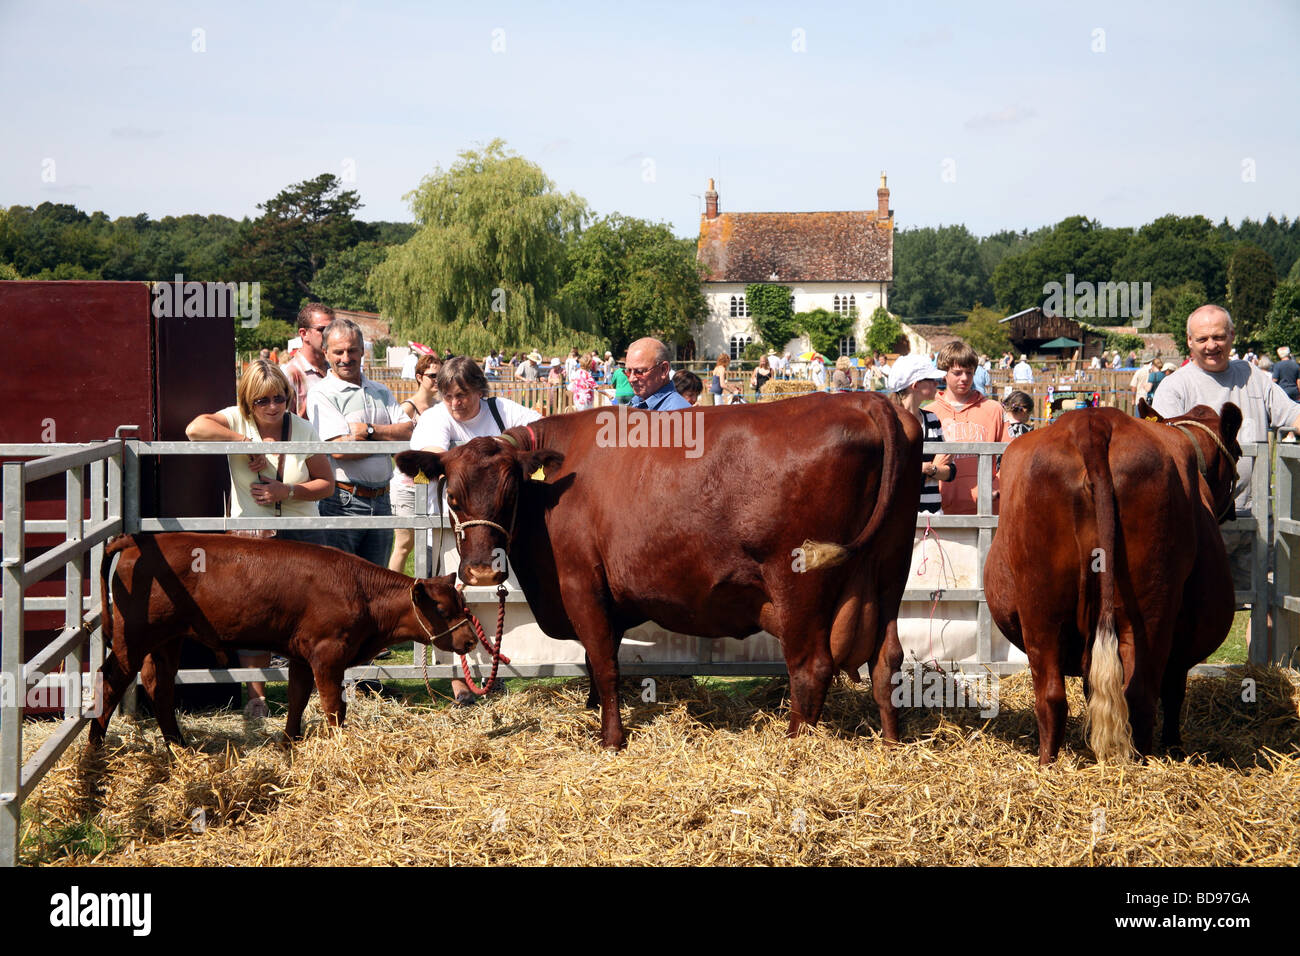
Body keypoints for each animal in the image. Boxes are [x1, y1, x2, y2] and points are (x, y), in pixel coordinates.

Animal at [90, 533, 474, 748]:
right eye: (441, 608)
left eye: (462, 602)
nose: (471, 640)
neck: (362, 592)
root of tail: (139, 541)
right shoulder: (327, 654)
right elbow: (333, 706)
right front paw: (337, 744)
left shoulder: (302, 656)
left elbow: (297, 699)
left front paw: (289, 742)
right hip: (134, 636)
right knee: (111, 680)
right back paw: (95, 747)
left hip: (167, 639)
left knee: (160, 686)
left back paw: (178, 745)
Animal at [396, 391, 922, 750]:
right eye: (452, 495)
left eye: (510, 494)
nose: (482, 573)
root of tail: (868, 400)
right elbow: (598, 659)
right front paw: (594, 711)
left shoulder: (581, 583)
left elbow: (605, 663)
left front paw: (610, 738)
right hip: (890, 570)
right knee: (886, 660)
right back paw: (891, 743)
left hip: (798, 584)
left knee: (810, 668)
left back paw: (793, 747)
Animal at [985, 402, 1242, 764]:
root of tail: (1094, 422)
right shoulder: (1182, 648)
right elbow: (1174, 692)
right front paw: (1174, 746)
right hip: (1151, 606)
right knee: (1140, 693)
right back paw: (1141, 761)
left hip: (1040, 606)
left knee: (1052, 696)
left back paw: (1049, 764)